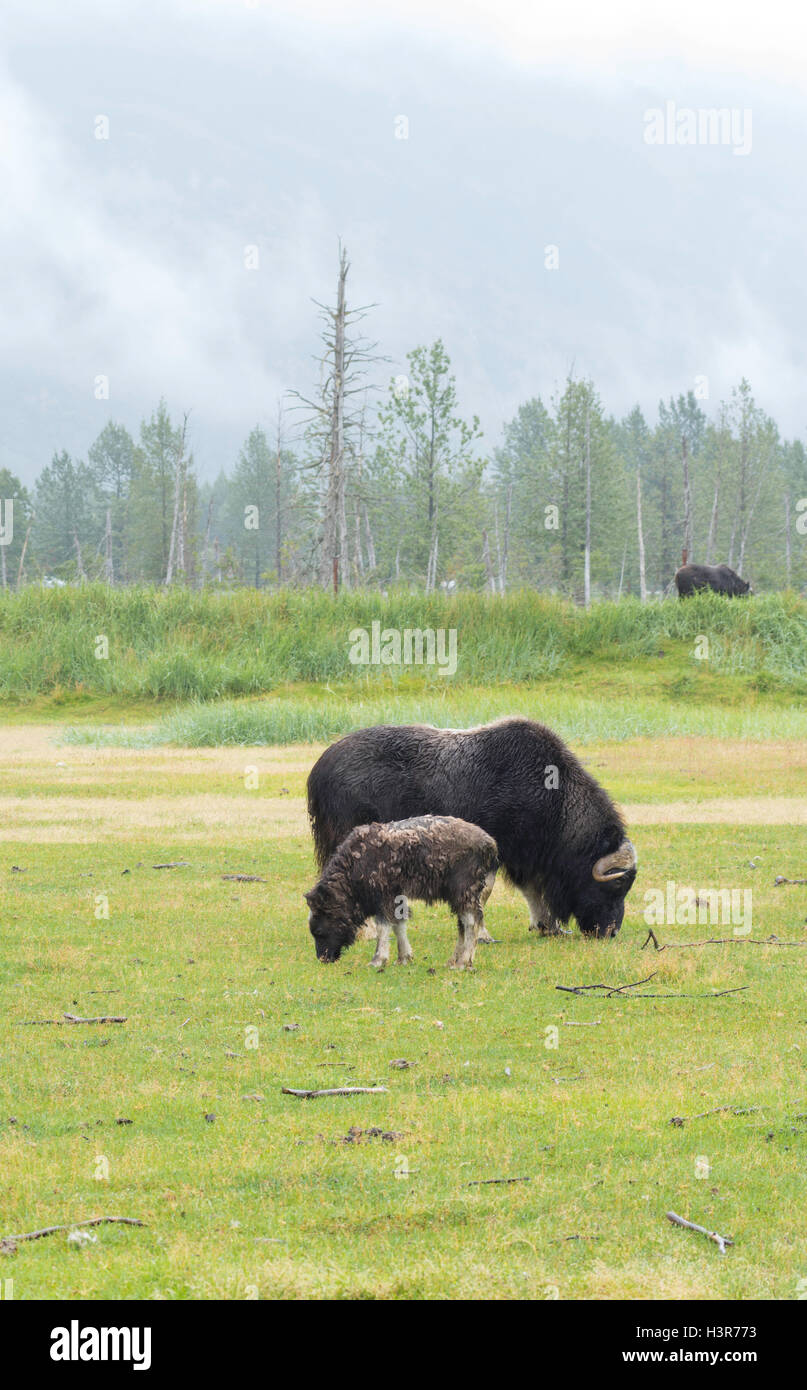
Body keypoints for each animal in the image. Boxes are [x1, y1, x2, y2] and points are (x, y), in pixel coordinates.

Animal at [305, 815, 499, 970]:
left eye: (319, 931)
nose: (323, 958)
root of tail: (489, 843)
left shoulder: (384, 899)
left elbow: (384, 927)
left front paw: (378, 960)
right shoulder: (396, 898)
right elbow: (399, 925)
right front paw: (404, 958)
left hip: (464, 892)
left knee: (471, 923)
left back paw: (462, 963)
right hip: (458, 896)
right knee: (462, 924)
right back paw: (453, 961)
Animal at [307, 717, 637, 939]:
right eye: (617, 885)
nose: (610, 932)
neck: (556, 799)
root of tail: (321, 766)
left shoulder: (525, 855)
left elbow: (532, 890)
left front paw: (548, 927)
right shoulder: (498, 848)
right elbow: (486, 890)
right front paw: (483, 934)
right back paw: (369, 933)